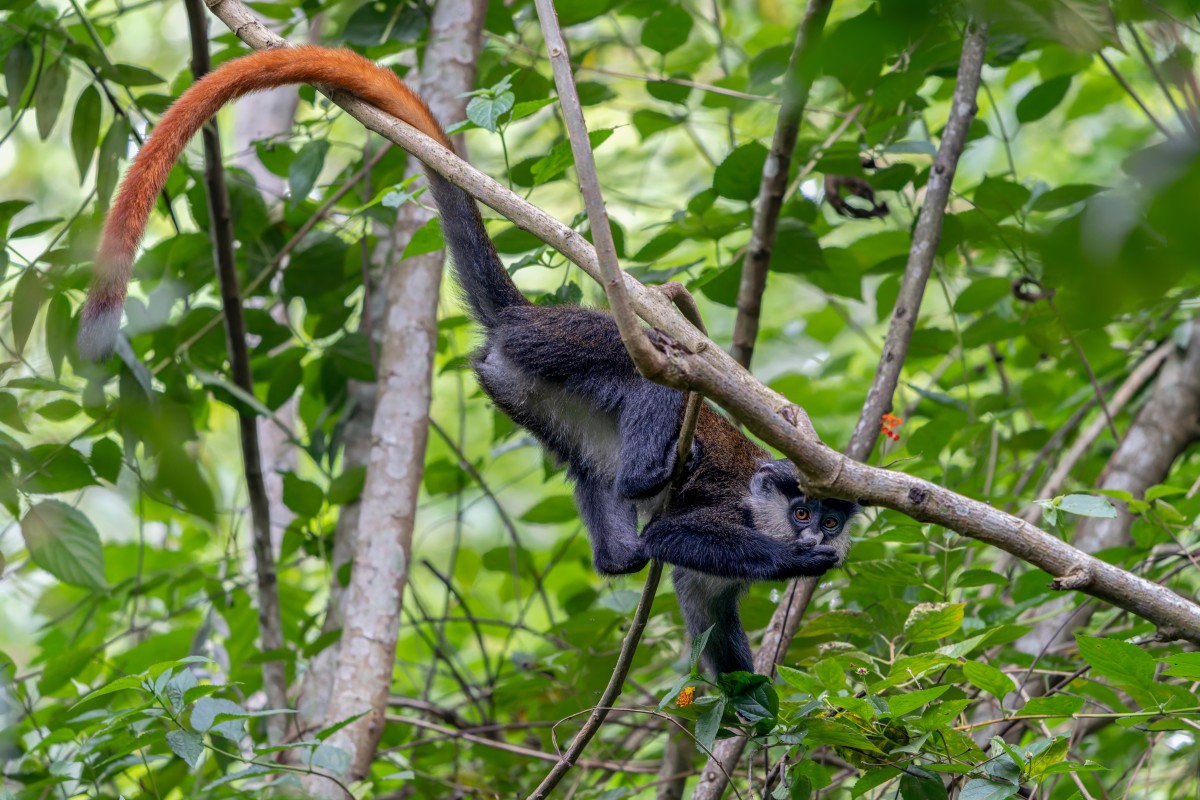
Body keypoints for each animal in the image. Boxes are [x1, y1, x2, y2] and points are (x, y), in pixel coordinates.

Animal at [77, 46, 857, 674]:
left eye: (832, 519)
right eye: (804, 511)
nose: (816, 535)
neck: (760, 507)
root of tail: (524, 313)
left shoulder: (713, 588)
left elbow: (714, 631)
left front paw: (756, 728)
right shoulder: (731, 513)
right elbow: (674, 534)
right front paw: (788, 562)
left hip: (524, 388)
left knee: (611, 523)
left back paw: (622, 545)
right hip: (574, 346)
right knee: (652, 391)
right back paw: (660, 449)